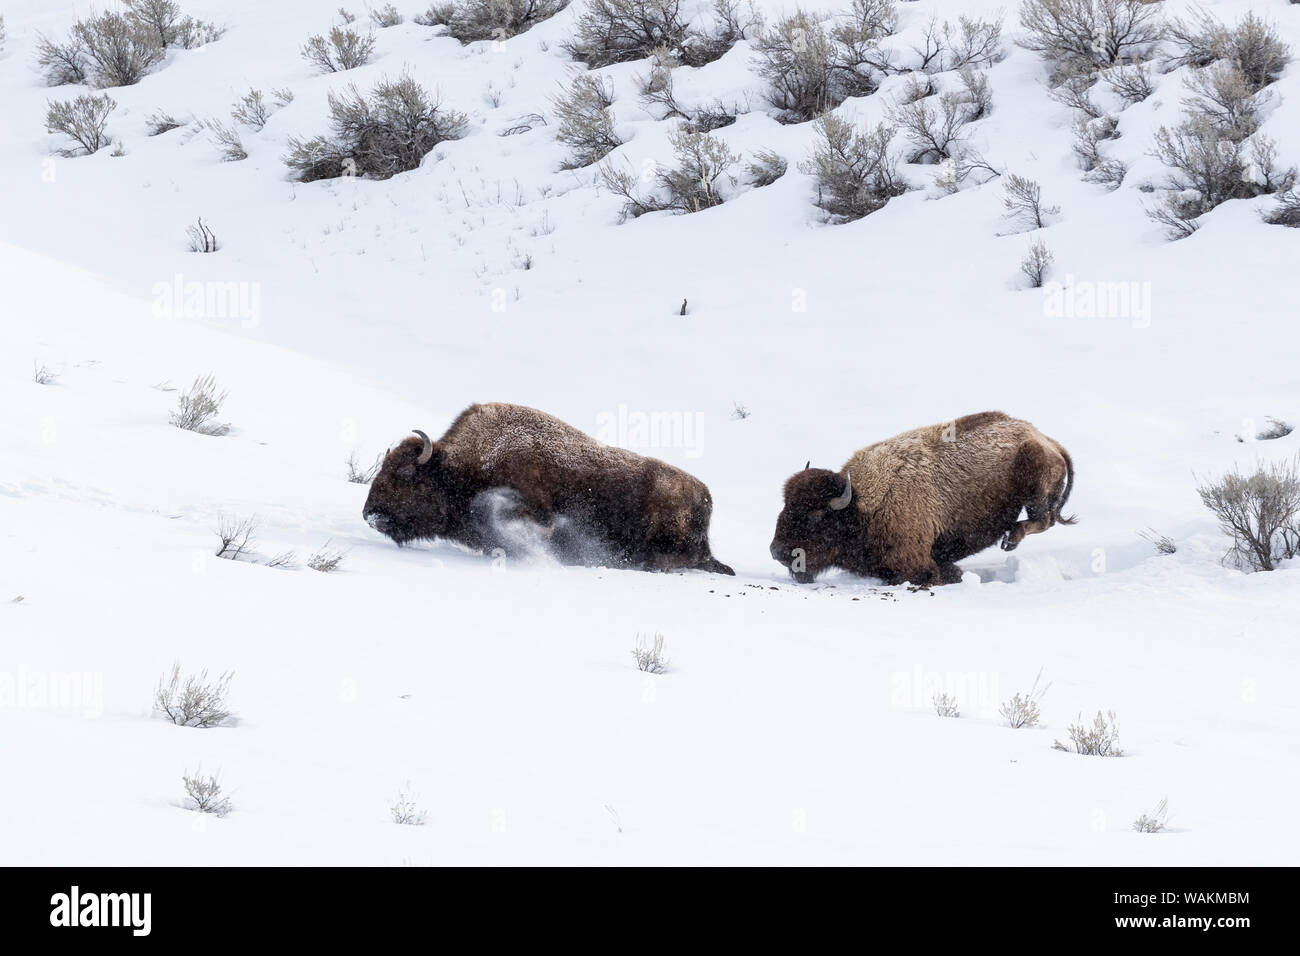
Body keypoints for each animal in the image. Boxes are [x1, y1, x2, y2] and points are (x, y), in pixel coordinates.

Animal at [770, 411, 1075, 586]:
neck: (859, 504)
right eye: (786, 506)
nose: (777, 551)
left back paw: (1011, 538)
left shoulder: (912, 561)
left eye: (816, 516)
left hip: (1034, 487)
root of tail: (1044, 439)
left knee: (1043, 519)